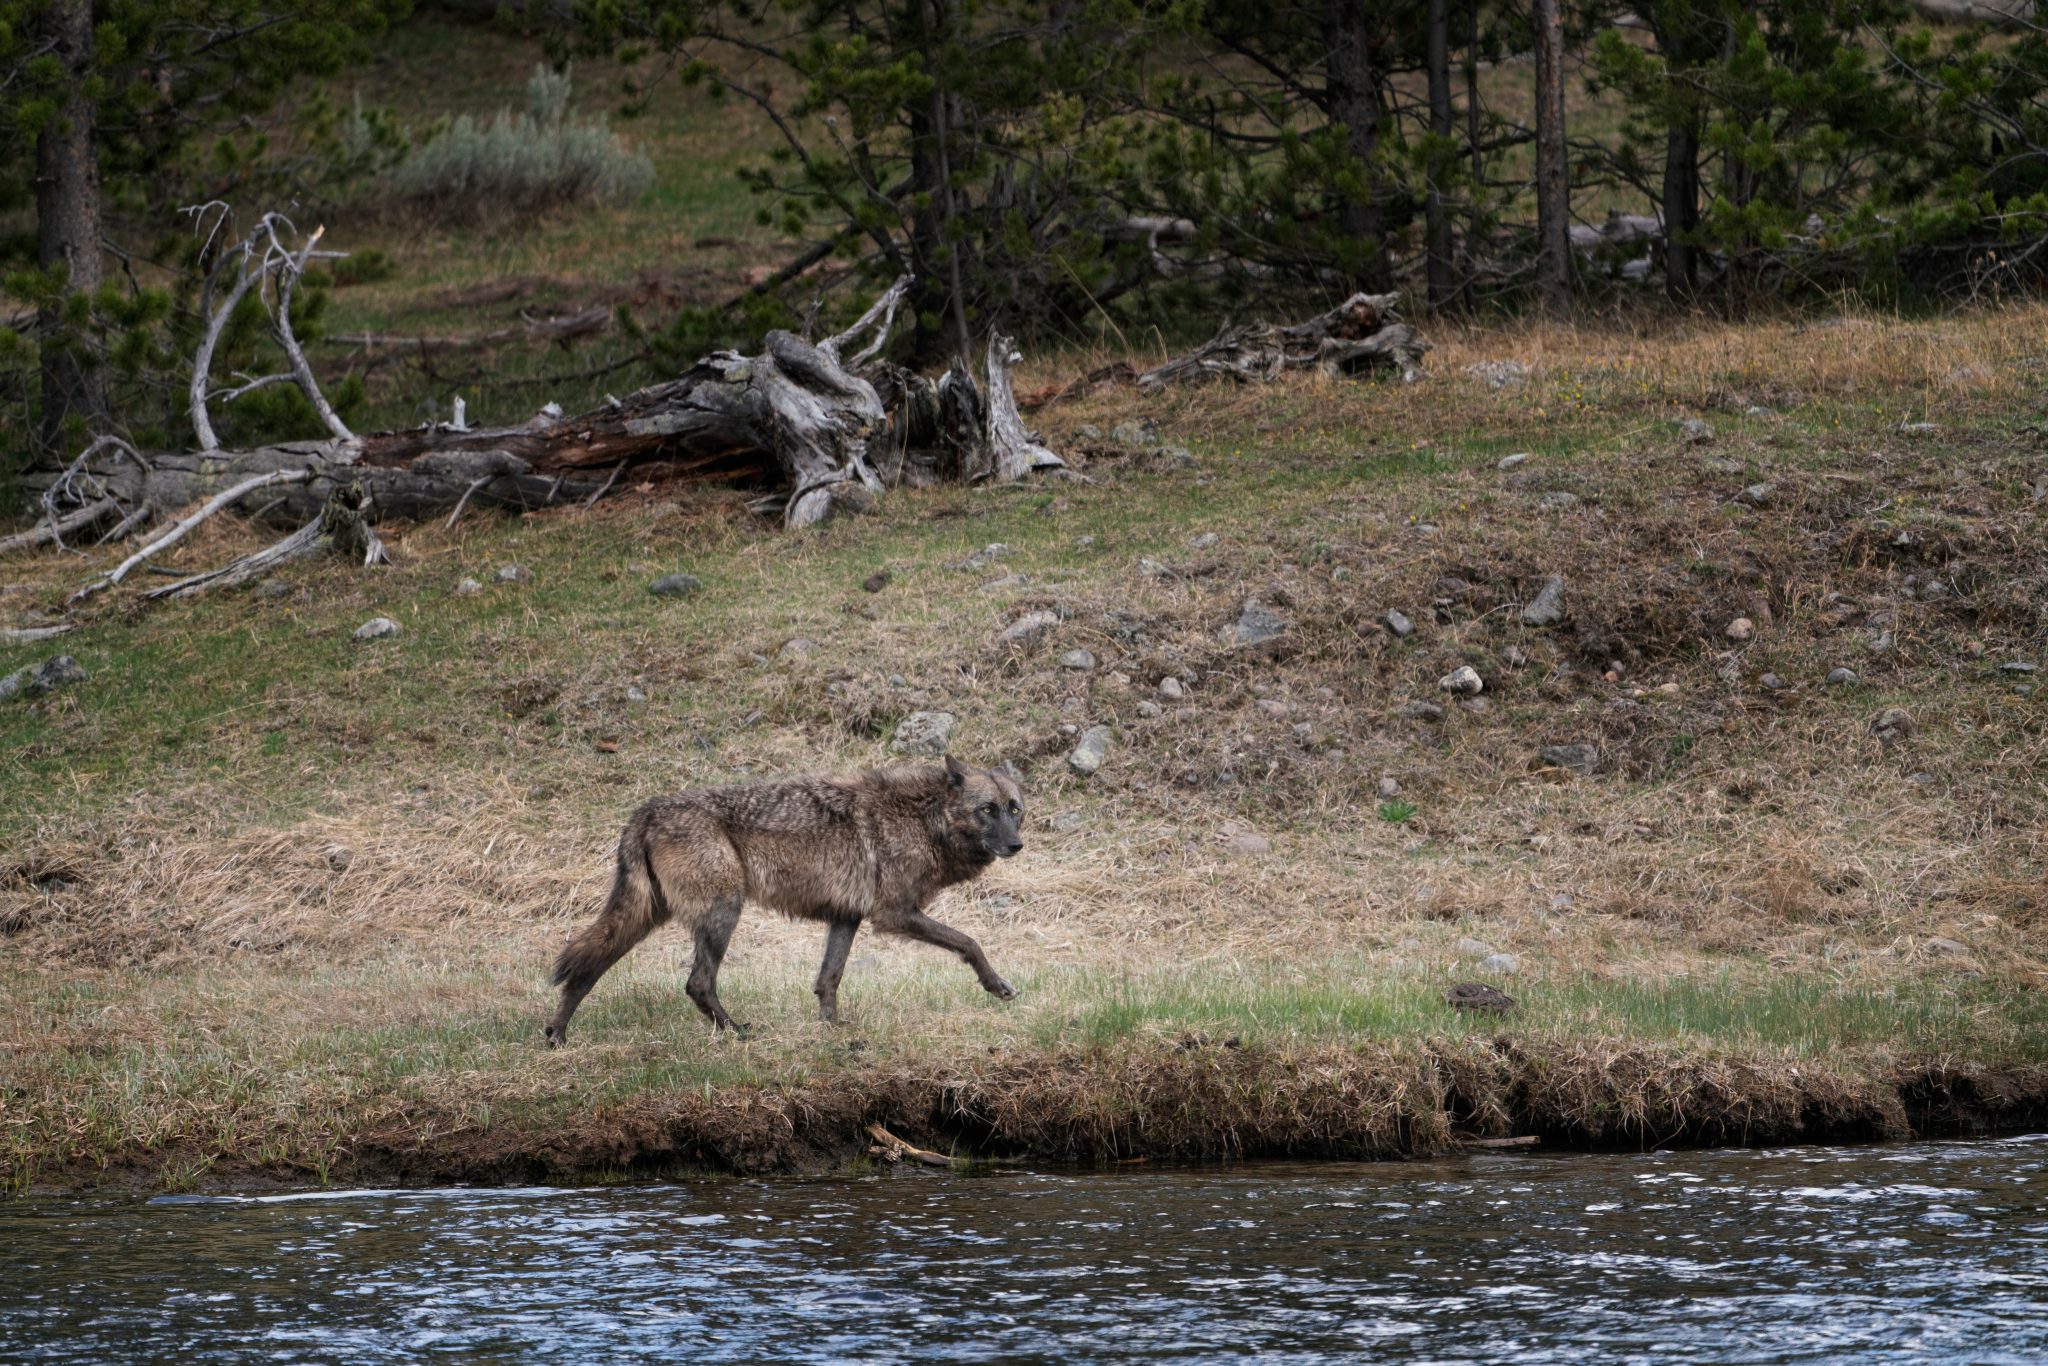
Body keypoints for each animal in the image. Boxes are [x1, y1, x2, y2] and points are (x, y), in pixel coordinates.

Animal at [543, 756, 1024, 1044]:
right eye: (987, 810)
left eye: (1015, 808)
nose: (1017, 845)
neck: (925, 819)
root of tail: (646, 810)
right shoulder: (895, 914)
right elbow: (969, 942)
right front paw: (997, 985)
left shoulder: (847, 916)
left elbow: (829, 979)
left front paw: (832, 1029)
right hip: (723, 912)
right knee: (697, 982)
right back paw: (736, 1032)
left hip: (644, 918)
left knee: (586, 967)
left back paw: (557, 1035)